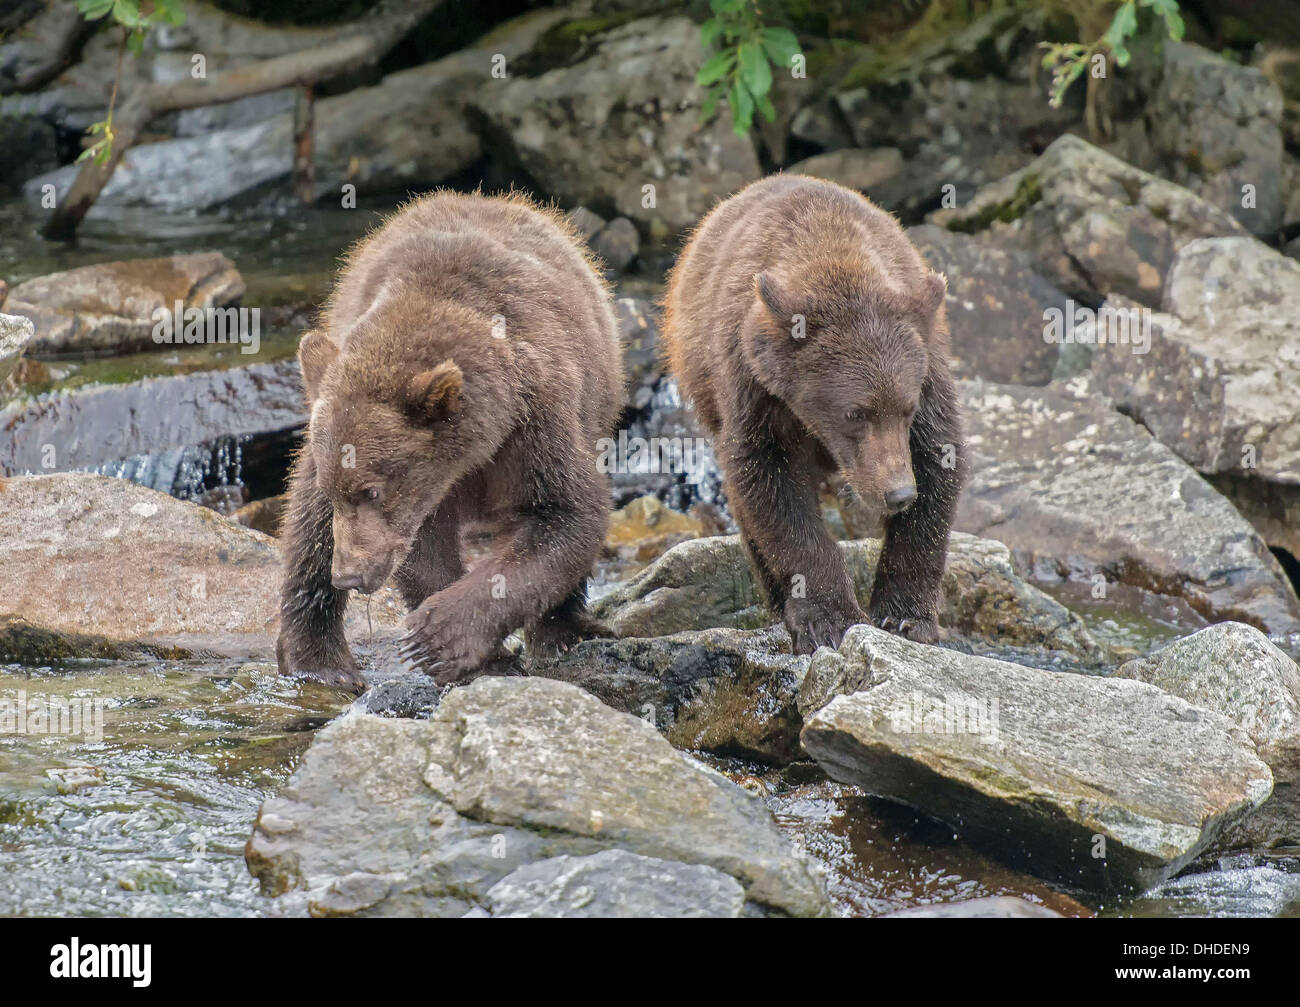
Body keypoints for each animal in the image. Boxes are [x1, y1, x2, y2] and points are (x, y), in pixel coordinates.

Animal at [276, 191, 624, 693]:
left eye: (372, 490)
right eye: (345, 490)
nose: (350, 575)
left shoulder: (536, 422)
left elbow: (563, 514)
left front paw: (440, 637)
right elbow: (418, 547)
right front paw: (474, 653)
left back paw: (567, 632)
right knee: (307, 525)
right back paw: (318, 658)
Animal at [661, 174, 967, 654]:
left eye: (906, 407)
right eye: (855, 413)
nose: (898, 493)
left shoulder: (927, 366)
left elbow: (939, 461)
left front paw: (905, 615)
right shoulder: (756, 390)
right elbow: (773, 488)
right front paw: (827, 618)